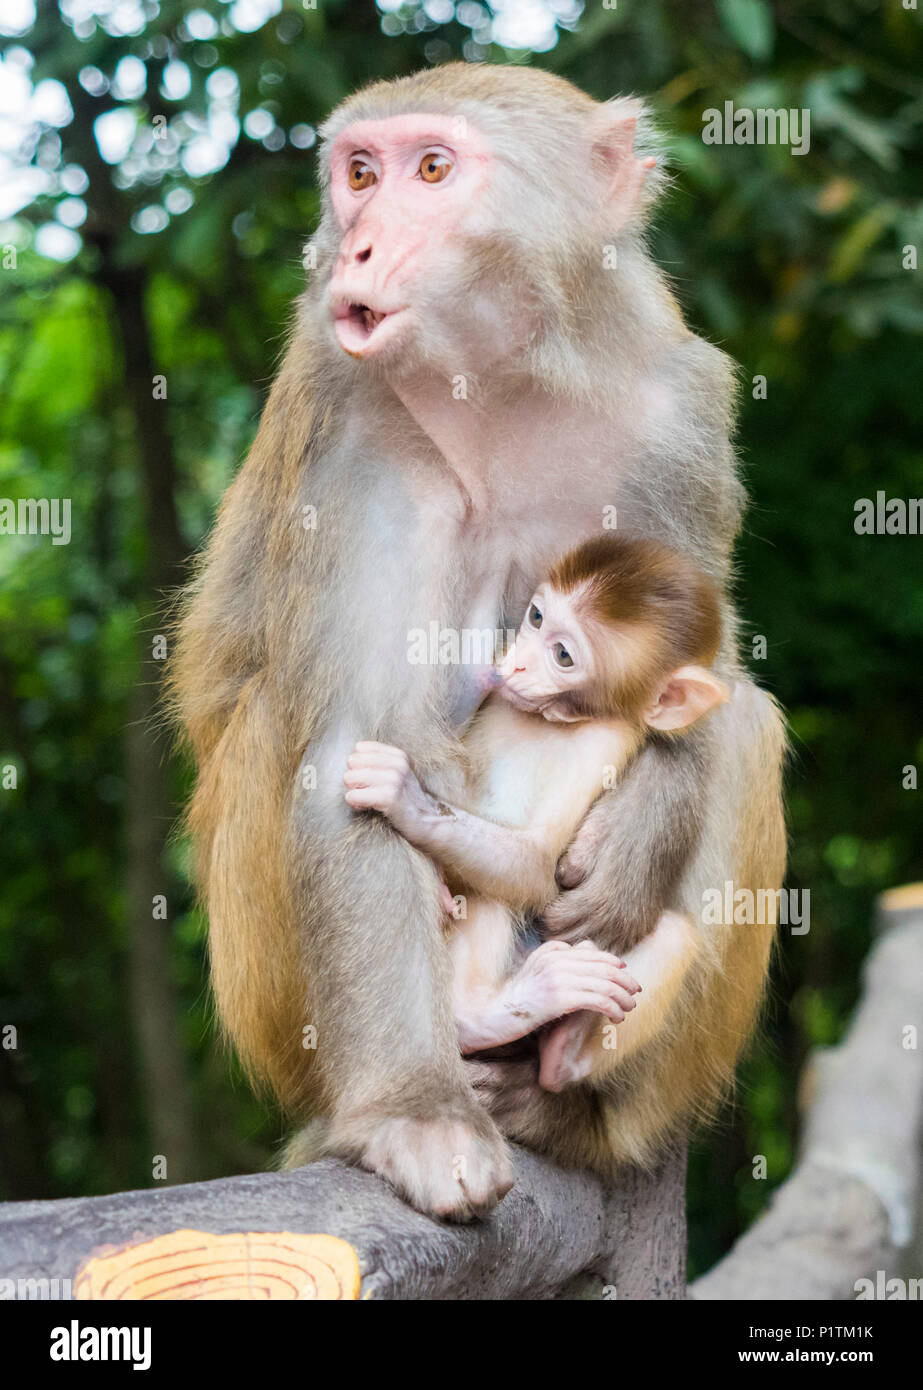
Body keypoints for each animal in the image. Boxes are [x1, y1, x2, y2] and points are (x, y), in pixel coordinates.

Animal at [343, 534, 729, 1094]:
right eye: (537, 616)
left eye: (563, 655)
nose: (519, 662)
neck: (552, 718)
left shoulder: (603, 740)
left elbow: (536, 864)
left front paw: (405, 797)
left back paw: (528, 1035)